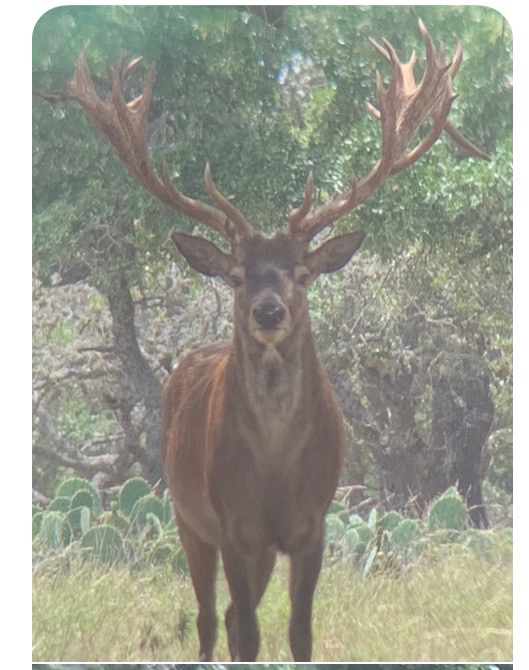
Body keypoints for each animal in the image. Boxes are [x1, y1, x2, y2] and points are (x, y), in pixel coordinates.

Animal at [44, 20, 489, 661]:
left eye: (302, 272)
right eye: (236, 274)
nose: (270, 309)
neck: (276, 466)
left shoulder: (313, 526)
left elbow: (300, 633)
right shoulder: (233, 525)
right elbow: (249, 634)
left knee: (230, 615)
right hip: (187, 516)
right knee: (211, 619)